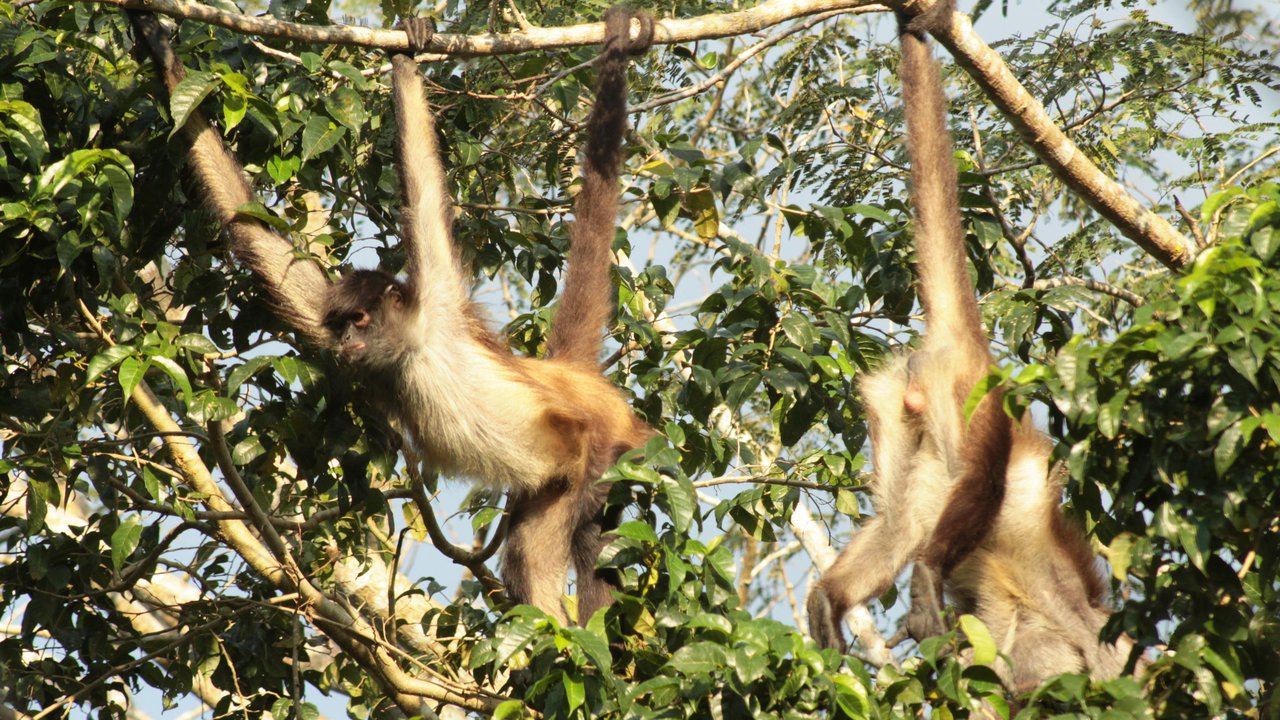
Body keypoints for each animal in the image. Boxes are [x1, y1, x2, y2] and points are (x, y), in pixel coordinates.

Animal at [130, 7, 655, 625]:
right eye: (340, 325)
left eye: (361, 320)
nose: (345, 344)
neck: (411, 350)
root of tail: (573, 378)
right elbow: (258, 238)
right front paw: (161, 51)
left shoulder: (440, 300)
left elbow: (423, 192)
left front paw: (407, 56)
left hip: (599, 452)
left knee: (578, 534)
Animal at [806, 1, 1136, 690]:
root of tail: (971, 350)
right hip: (969, 397)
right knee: (982, 476)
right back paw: (929, 572)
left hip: (902, 405)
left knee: (900, 521)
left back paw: (833, 597)